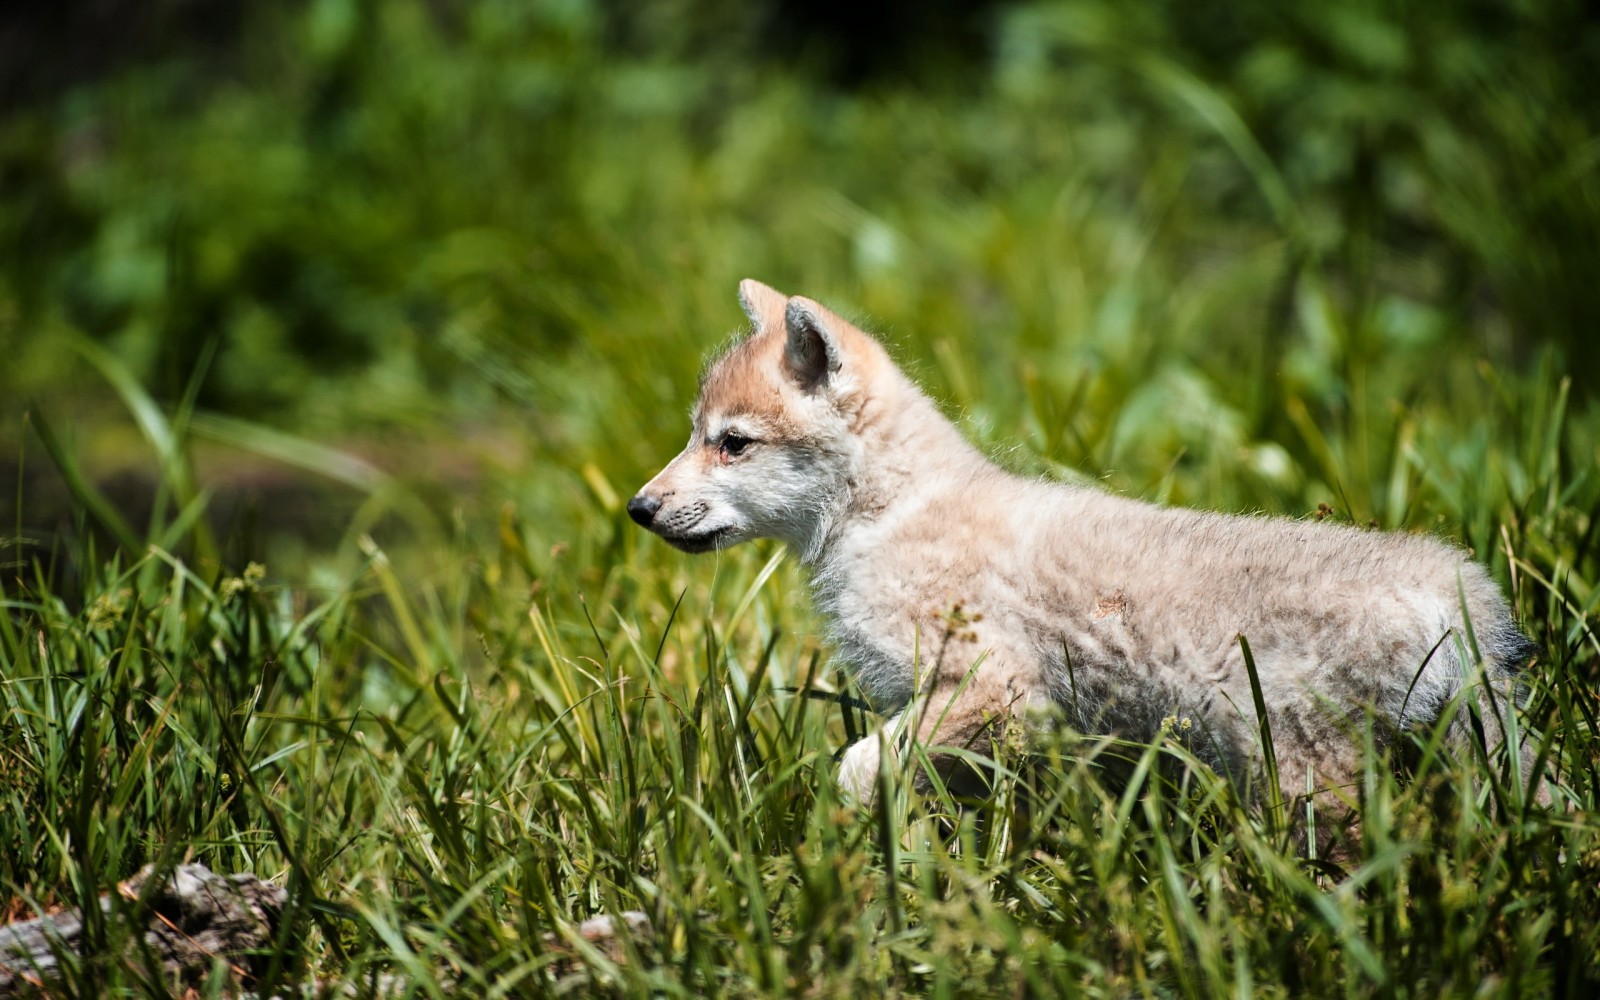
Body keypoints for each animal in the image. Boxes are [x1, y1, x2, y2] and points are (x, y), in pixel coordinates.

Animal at [627, 279, 1541, 809]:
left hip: (1299, 765)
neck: (888, 517)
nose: (637, 507)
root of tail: (1460, 595)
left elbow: (854, 772)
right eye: (695, 434)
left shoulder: (992, 684)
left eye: (731, 444)